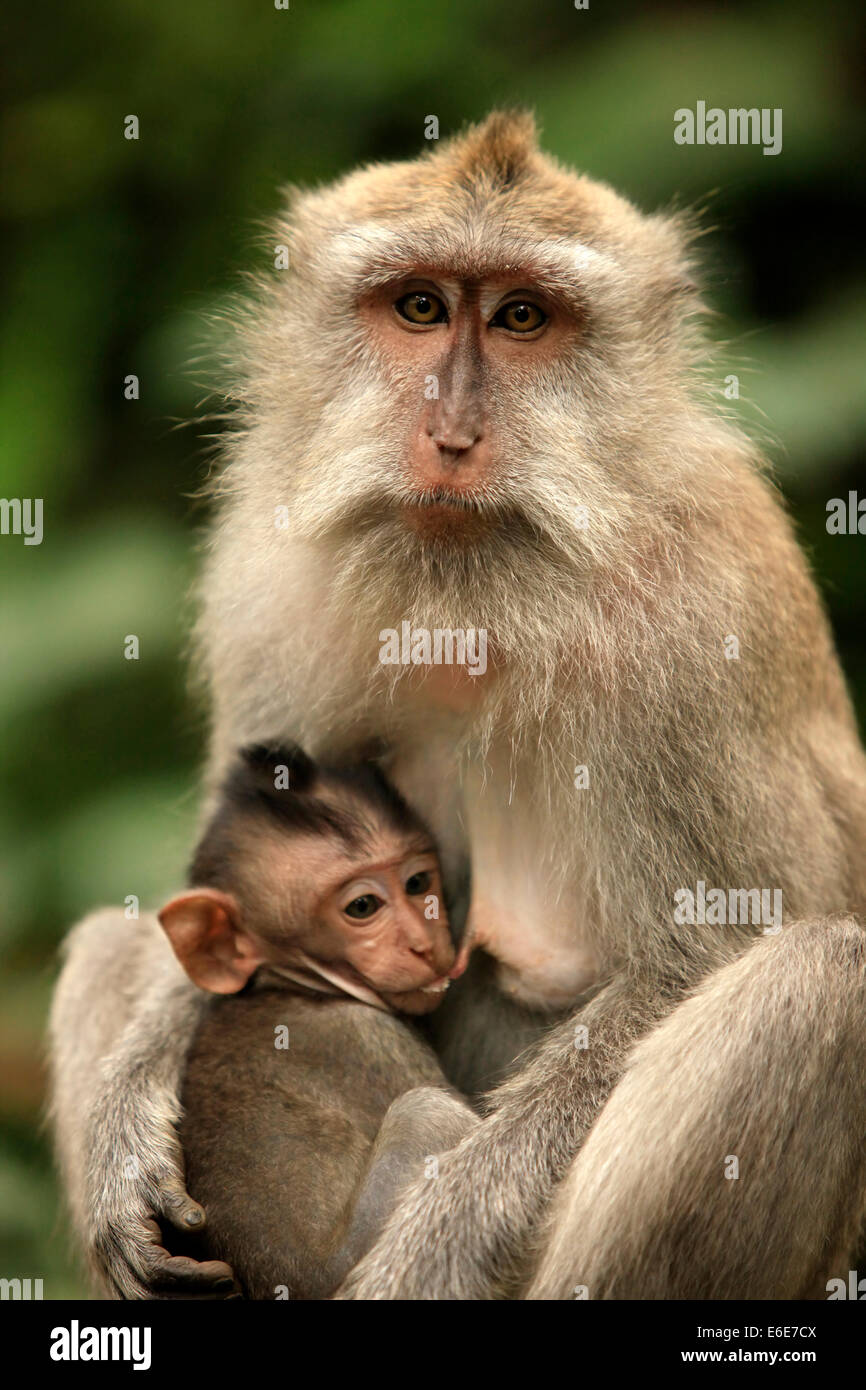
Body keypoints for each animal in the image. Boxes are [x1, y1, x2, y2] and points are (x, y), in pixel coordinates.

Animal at [156, 742, 477, 1299]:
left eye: (417, 883)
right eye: (363, 906)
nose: (423, 942)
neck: (292, 985)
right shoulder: (369, 1040)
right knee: (428, 1111)